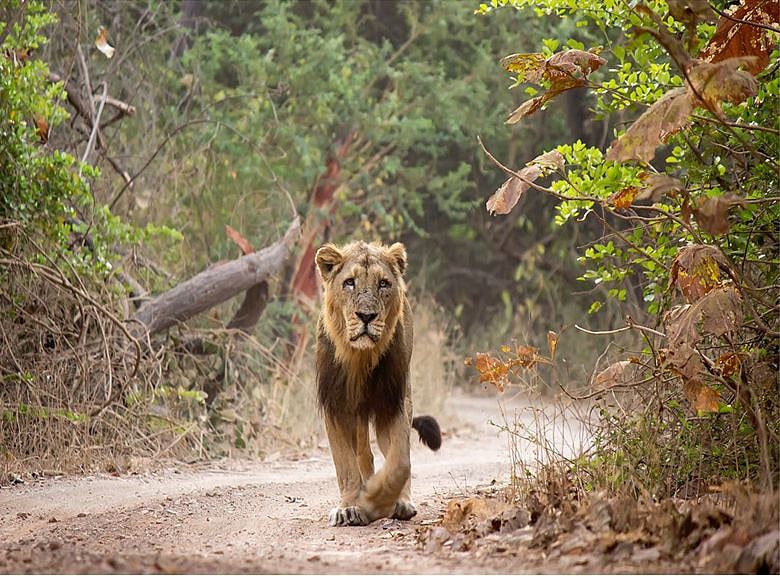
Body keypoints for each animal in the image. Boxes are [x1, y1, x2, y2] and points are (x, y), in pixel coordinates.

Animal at [315, 240, 441, 526]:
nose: (366, 316)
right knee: (363, 455)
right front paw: (350, 507)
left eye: (383, 283)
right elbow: (346, 464)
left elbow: (401, 462)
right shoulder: (336, 406)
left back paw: (400, 502)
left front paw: (377, 499)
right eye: (349, 282)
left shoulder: (393, 403)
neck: (360, 357)